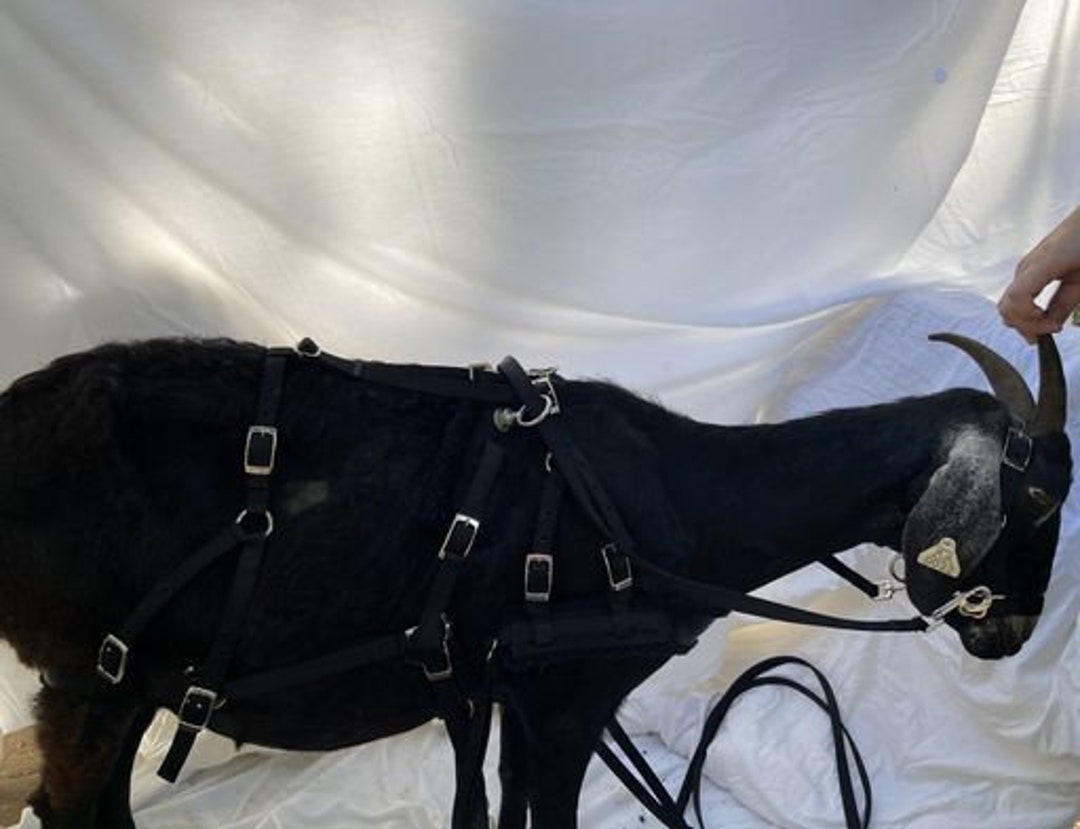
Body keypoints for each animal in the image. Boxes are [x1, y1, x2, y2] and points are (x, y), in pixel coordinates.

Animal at [0, 332, 1070, 829]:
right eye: (1042, 496)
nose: (1015, 629)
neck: (671, 503)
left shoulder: (513, 697)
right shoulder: (568, 701)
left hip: (127, 682)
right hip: (92, 677)